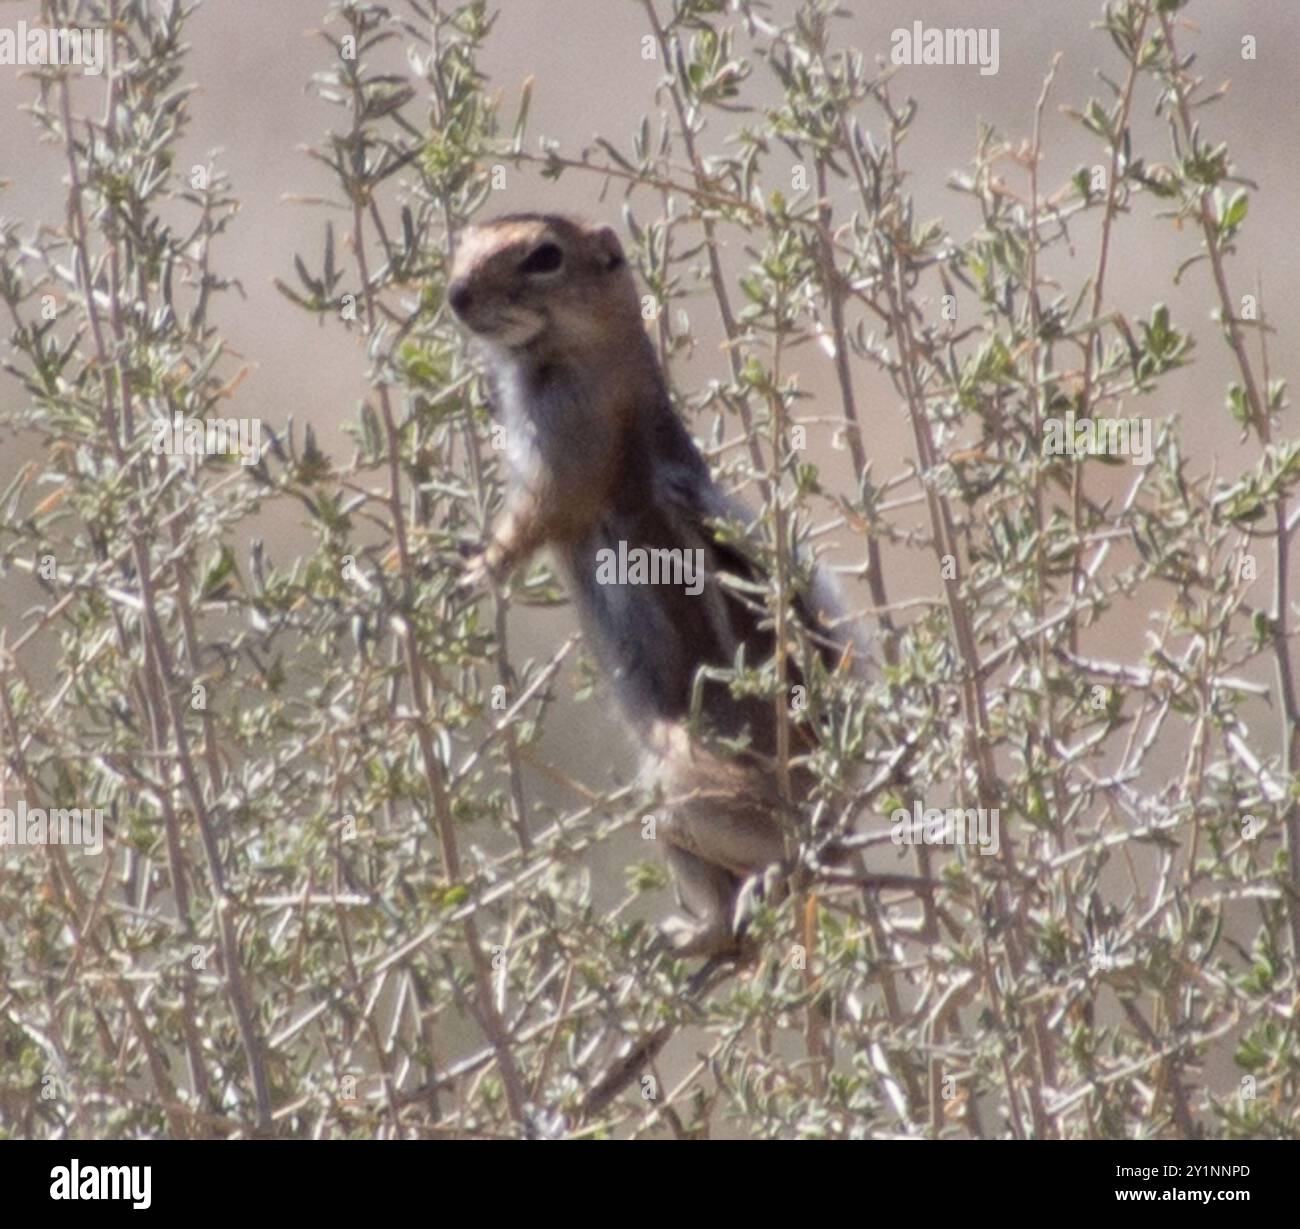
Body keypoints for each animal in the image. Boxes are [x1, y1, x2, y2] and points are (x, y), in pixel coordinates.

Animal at [448, 213, 867, 955]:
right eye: (464, 240)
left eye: (544, 256)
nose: (455, 294)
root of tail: (835, 806)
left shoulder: (567, 453)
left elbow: (528, 525)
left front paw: (478, 568)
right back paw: (701, 932)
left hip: (678, 781)